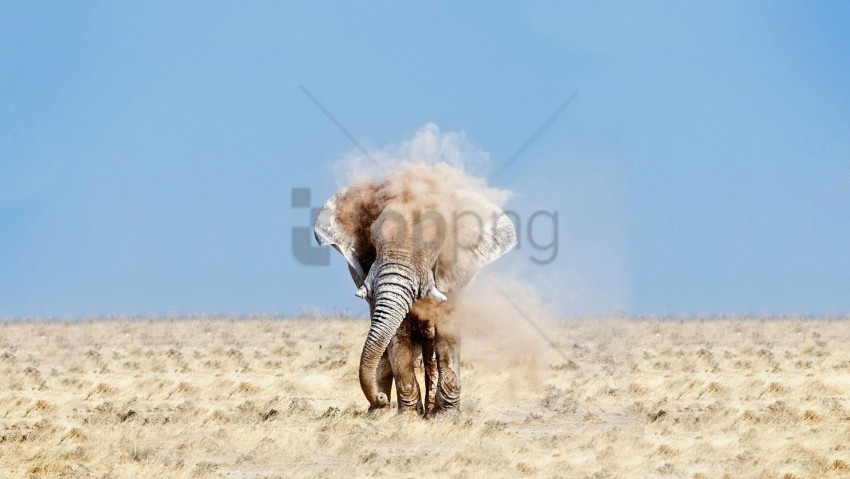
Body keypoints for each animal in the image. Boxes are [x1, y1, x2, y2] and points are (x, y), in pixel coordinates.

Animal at [314, 174, 517, 414]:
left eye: (433, 246)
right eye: (373, 239)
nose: (381, 398)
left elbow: (447, 332)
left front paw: (446, 416)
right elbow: (398, 335)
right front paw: (407, 416)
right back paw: (378, 413)